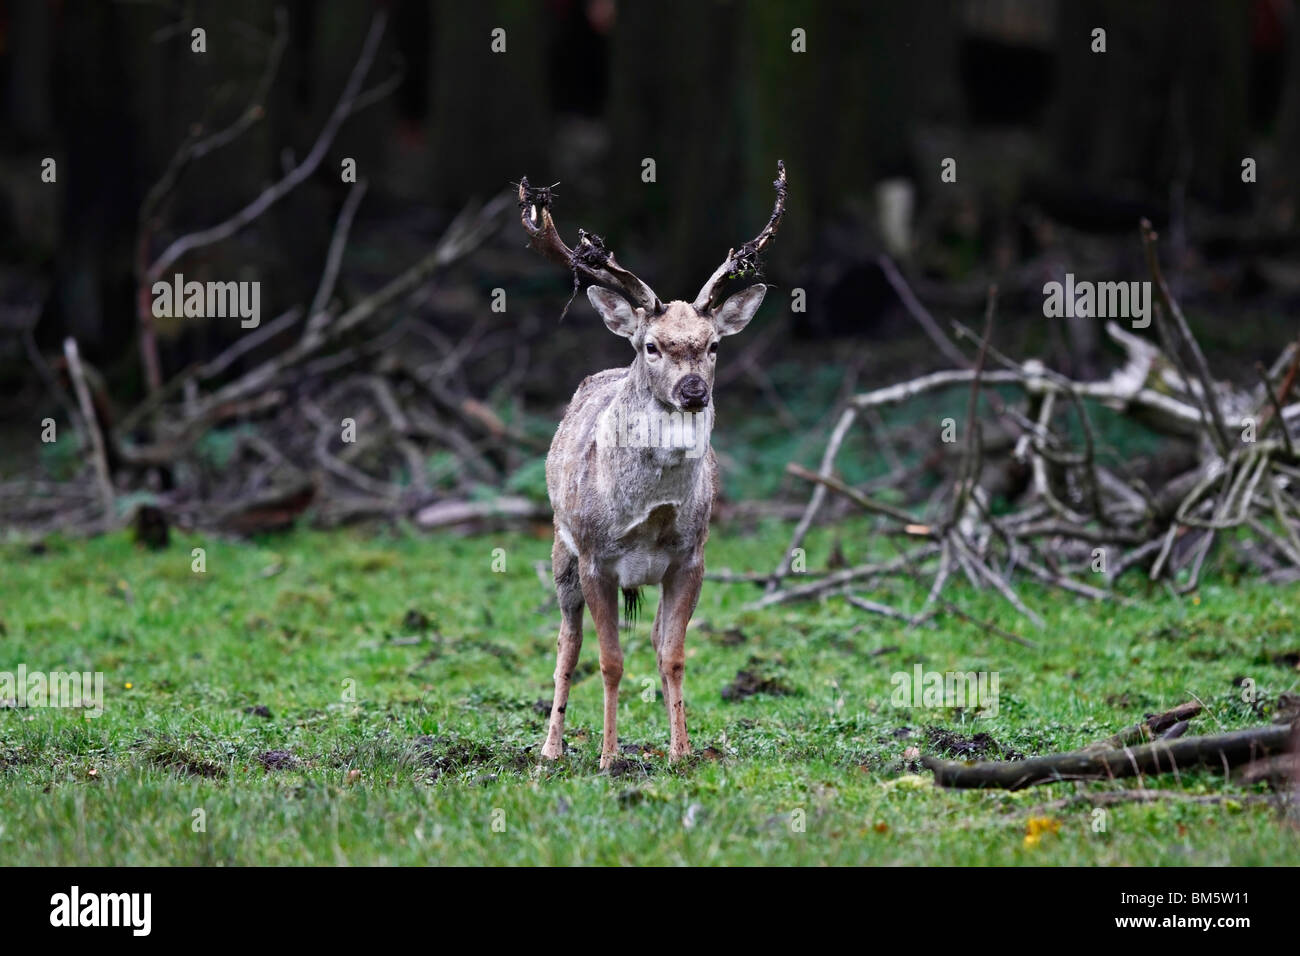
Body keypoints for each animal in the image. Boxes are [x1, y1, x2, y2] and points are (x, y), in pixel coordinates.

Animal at [516, 162, 787, 768]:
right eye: (652, 347)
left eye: (713, 345)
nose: (693, 392)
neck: (649, 511)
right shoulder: (596, 557)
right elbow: (609, 661)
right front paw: (608, 757)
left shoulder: (691, 555)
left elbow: (672, 655)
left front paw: (681, 753)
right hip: (560, 550)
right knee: (566, 645)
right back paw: (551, 748)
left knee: (652, 639)